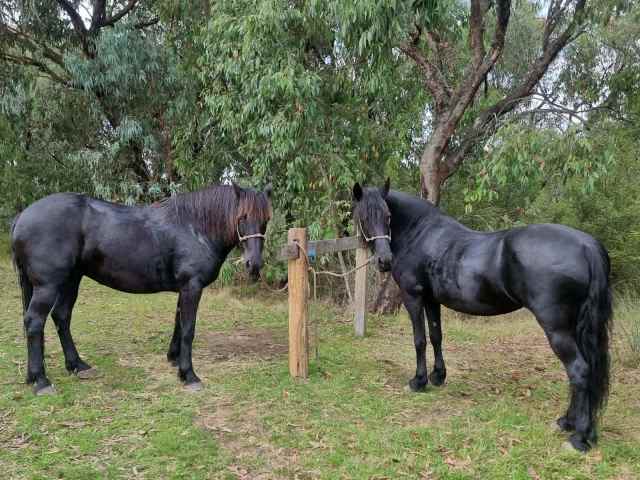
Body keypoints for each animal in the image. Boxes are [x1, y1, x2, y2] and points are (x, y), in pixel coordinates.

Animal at [10, 183, 272, 395]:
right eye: (242, 217)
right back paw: (41, 381)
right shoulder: (192, 286)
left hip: (70, 281)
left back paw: (77, 366)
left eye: (265, 220)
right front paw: (188, 375)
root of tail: (22, 216)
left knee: (61, 317)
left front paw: (174, 359)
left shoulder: (184, 288)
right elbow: (188, 329)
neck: (194, 227)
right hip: (48, 286)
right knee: (35, 322)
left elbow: (178, 323)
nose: (254, 264)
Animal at [352, 179, 612, 452]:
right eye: (364, 217)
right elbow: (436, 336)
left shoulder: (413, 297)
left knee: (578, 370)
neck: (421, 235)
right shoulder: (432, 300)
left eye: (388, 216)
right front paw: (438, 376)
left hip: (557, 328)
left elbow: (419, 340)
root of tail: (586, 245)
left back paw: (579, 437)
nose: (384, 260)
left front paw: (418, 381)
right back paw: (568, 423)